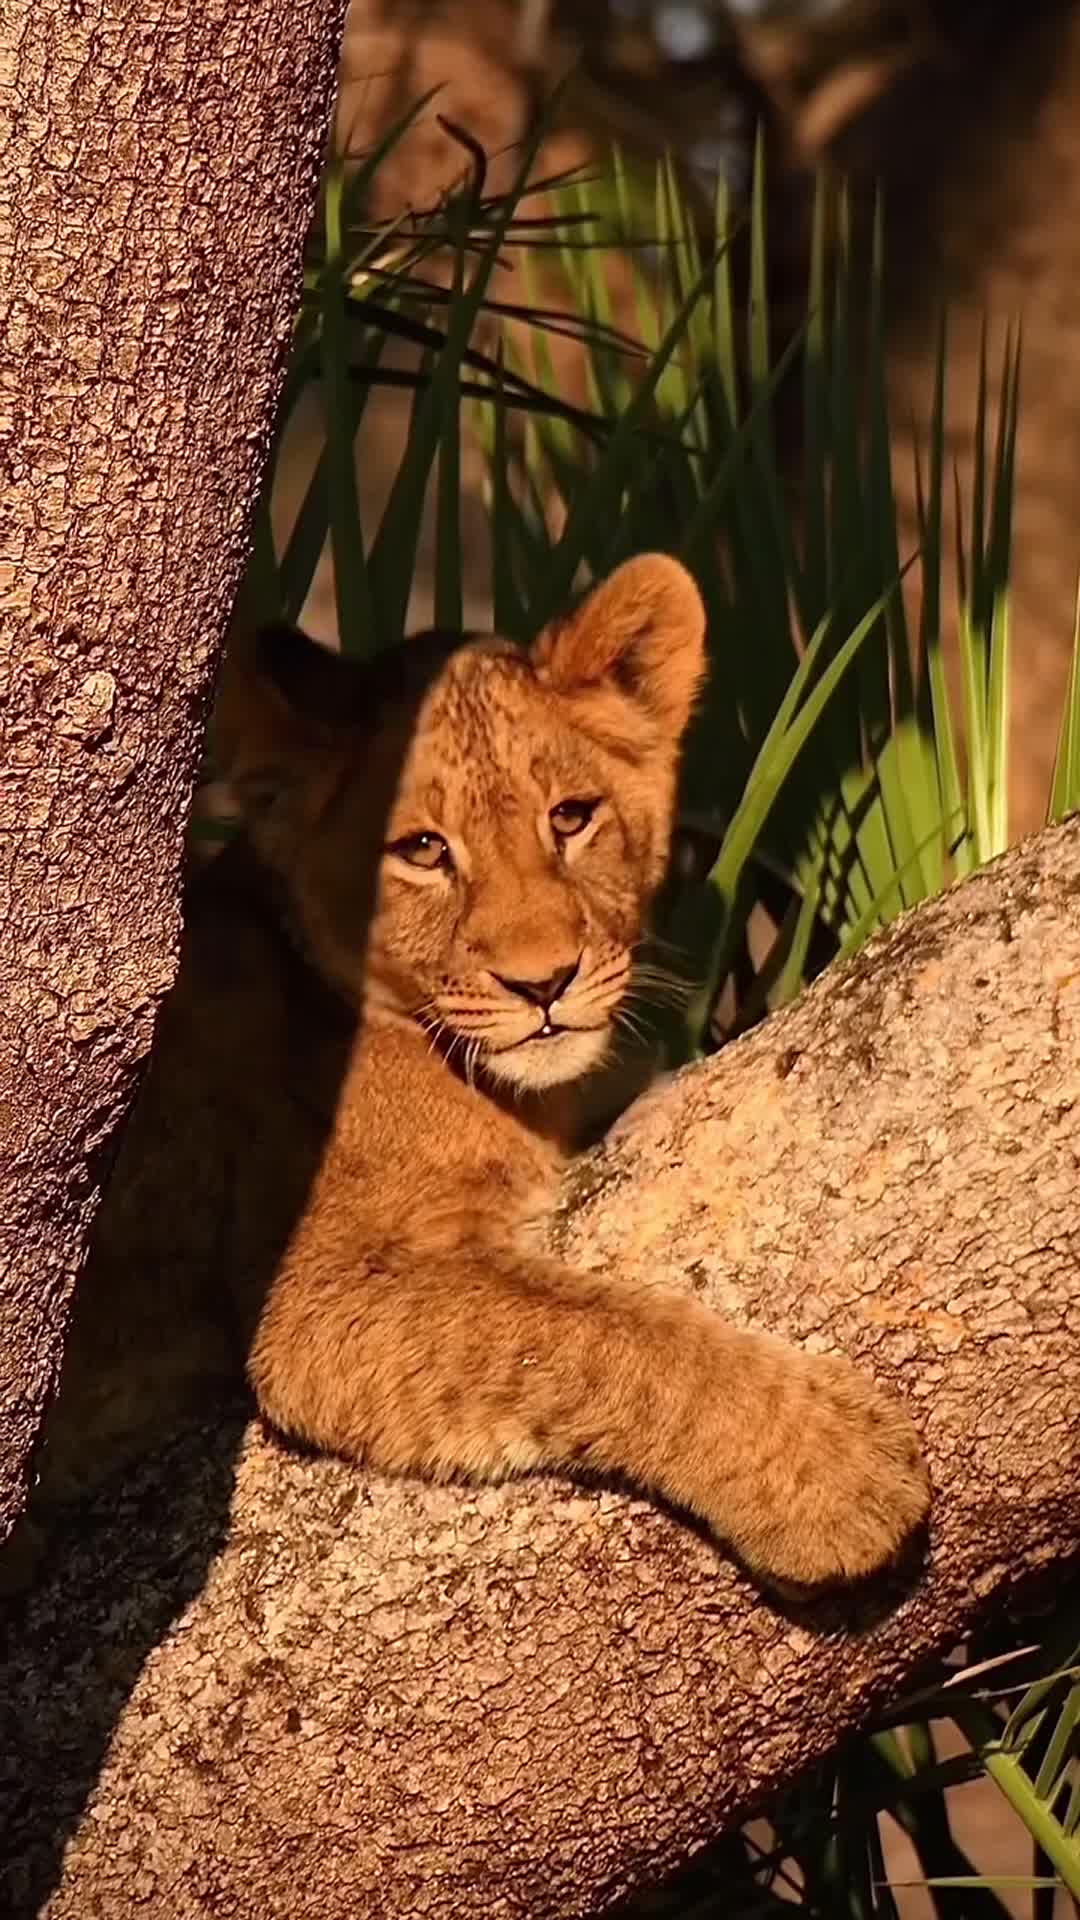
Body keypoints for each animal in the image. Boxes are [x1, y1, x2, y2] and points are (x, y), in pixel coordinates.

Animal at [25, 553, 928, 1591]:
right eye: (423, 849)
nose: (545, 983)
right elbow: (591, 1329)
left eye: (571, 818)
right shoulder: (317, 1295)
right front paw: (831, 1469)